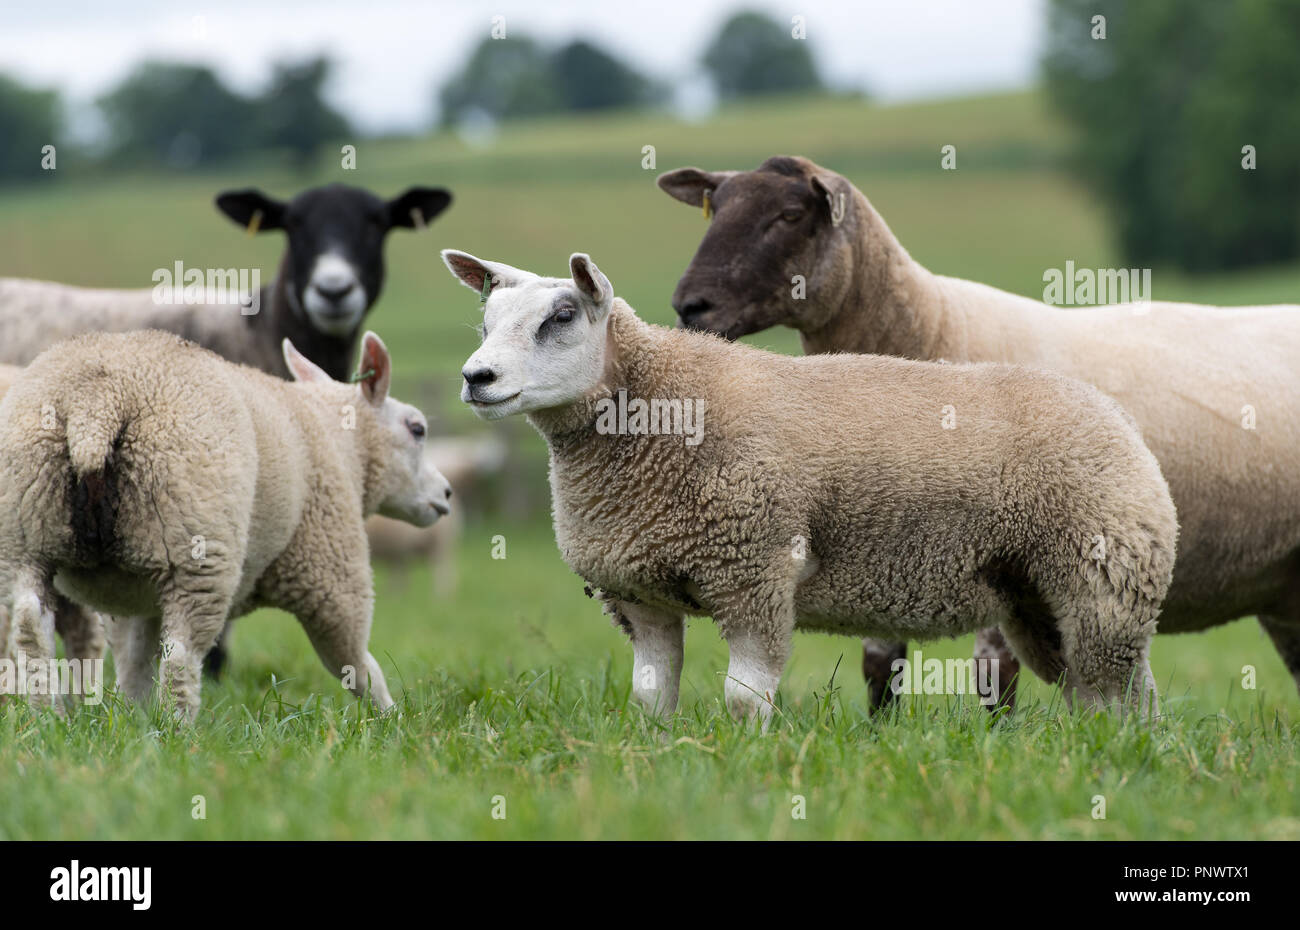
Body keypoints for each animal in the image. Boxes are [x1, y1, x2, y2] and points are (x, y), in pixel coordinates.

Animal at [0, 330, 452, 720]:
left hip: (26, 530)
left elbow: (133, 664)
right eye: (417, 429)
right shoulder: (331, 572)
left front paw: (132, 722)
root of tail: (96, 406)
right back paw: (177, 729)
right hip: (196, 544)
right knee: (181, 656)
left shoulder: (131, 588)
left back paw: (48, 716)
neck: (342, 445)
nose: (446, 495)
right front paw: (392, 721)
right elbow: (356, 666)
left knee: (29, 627)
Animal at [443, 249, 1177, 727]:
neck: (659, 409)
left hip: (1103, 577)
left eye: (561, 316)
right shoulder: (638, 591)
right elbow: (650, 698)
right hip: (1036, 596)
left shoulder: (755, 569)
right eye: (485, 324)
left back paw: (1115, 758)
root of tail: (1117, 419)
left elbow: (745, 698)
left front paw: (745, 759)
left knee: (1115, 690)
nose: (476, 377)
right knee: (1108, 690)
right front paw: (655, 752)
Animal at [658, 154, 1300, 708]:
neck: (933, 326)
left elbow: (995, 674)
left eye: (791, 215)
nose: (691, 305)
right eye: (715, 209)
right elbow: (880, 665)